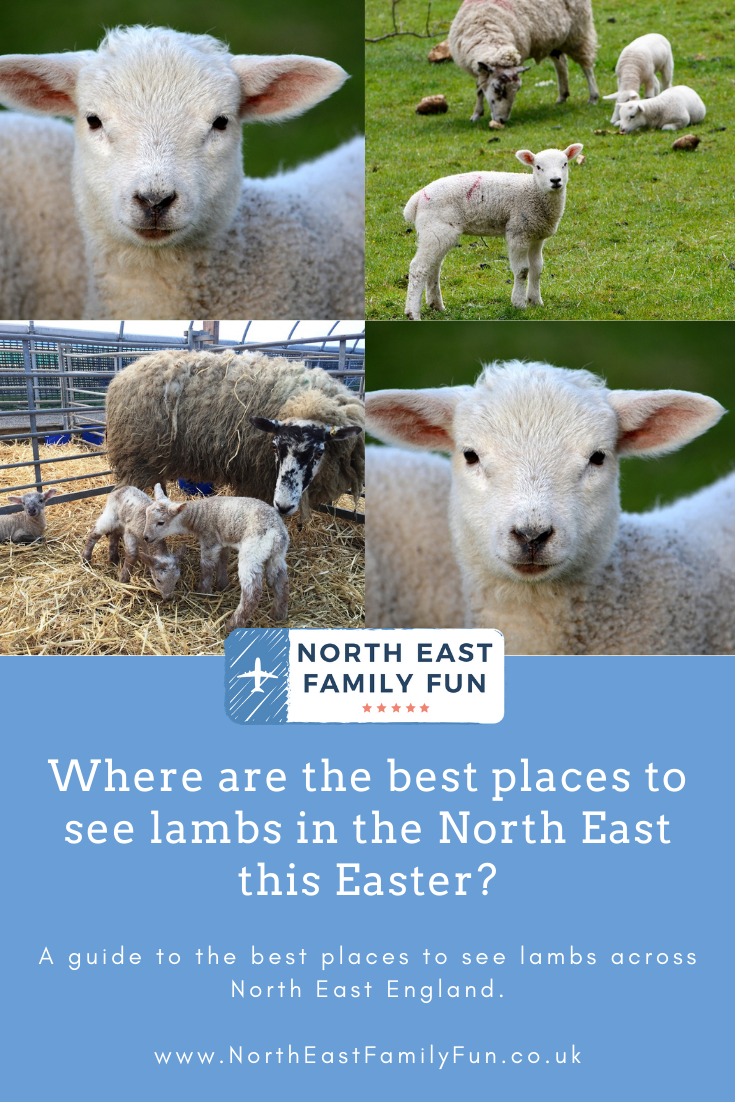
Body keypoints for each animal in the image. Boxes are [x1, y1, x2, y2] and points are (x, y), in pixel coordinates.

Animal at [105, 350, 365, 527]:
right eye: (274, 447)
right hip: (135, 458)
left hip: (156, 459)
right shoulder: (258, 479)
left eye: (320, 452)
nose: (284, 505)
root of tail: (122, 375)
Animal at [143, 485, 289, 630]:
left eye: (161, 523)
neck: (198, 515)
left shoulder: (209, 540)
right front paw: (222, 585)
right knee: (282, 581)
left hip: (252, 552)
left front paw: (203, 591)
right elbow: (223, 560)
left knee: (252, 593)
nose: (145, 537)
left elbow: (206, 566)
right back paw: (278, 614)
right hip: (277, 556)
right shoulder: (222, 541)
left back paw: (232, 625)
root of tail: (276, 533)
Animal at [403, 144, 583, 319]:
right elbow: (522, 270)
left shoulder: (536, 235)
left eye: (564, 164)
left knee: (433, 266)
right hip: (435, 229)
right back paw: (412, 312)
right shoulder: (518, 232)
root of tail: (417, 199)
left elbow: (537, 268)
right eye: (538, 167)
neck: (534, 191)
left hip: (438, 233)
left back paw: (436, 305)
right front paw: (519, 303)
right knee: (419, 268)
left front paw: (536, 301)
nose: (555, 180)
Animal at [448, 0, 599, 124]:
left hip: (578, 31)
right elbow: (479, 89)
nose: (502, 120)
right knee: (561, 62)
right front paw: (476, 114)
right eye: (497, 88)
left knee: (587, 66)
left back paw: (593, 97)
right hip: (555, 39)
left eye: (517, 90)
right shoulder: (480, 70)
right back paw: (562, 96)